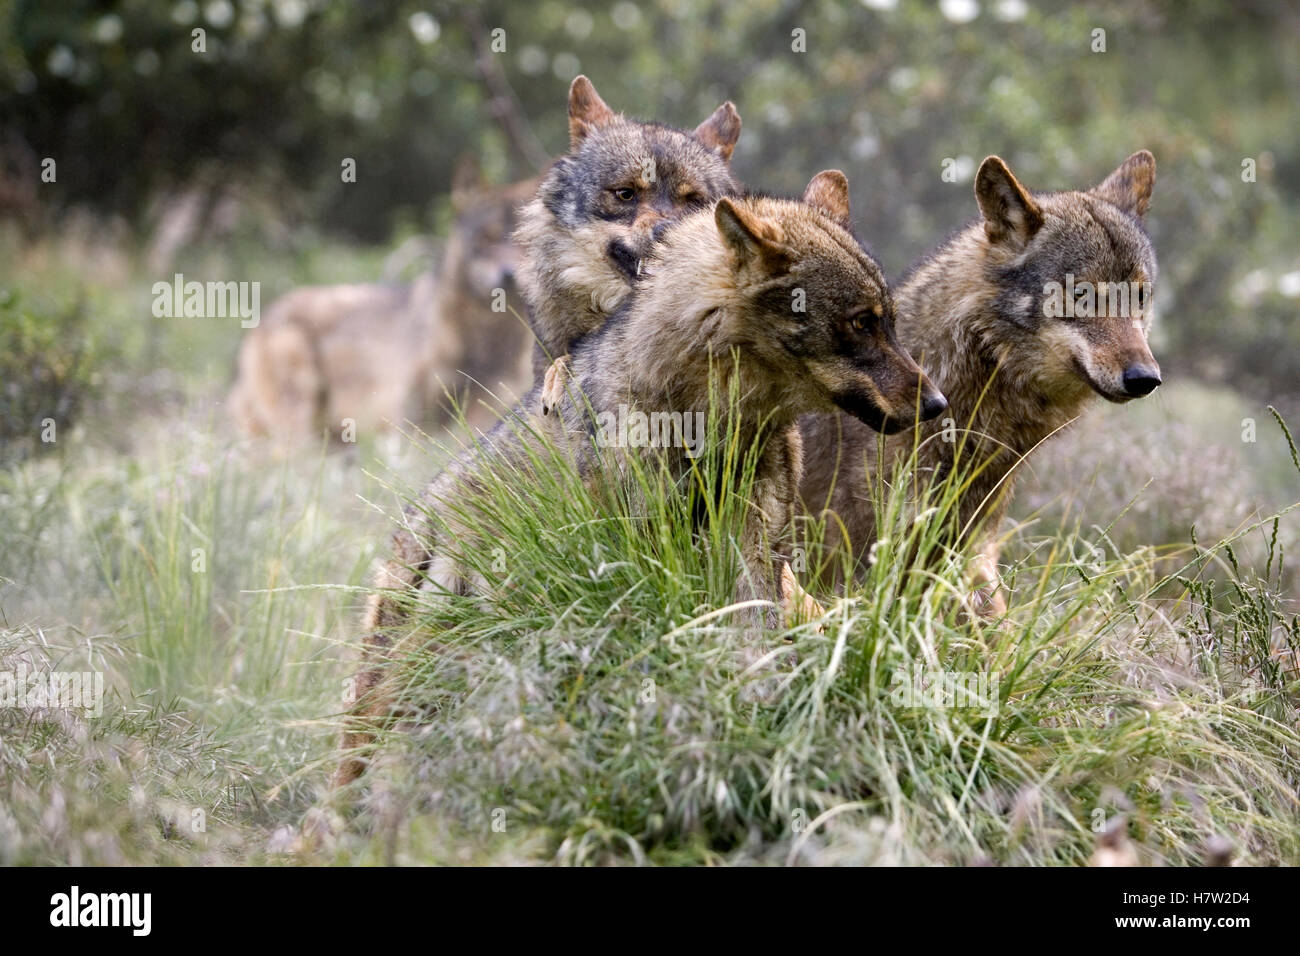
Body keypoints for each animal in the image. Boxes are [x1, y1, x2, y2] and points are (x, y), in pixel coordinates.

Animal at [228, 164, 536, 443]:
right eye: (487, 237)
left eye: (523, 242)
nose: (509, 275)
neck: (487, 337)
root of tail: (263, 317)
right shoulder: (408, 414)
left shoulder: (487, 408)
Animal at [335, 172, 946, 786]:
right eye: (862, 323)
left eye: (891, 322)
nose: (939, 405)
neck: (703, 421)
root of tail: (414, 522)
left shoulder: (751, 545)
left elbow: (752, 628)